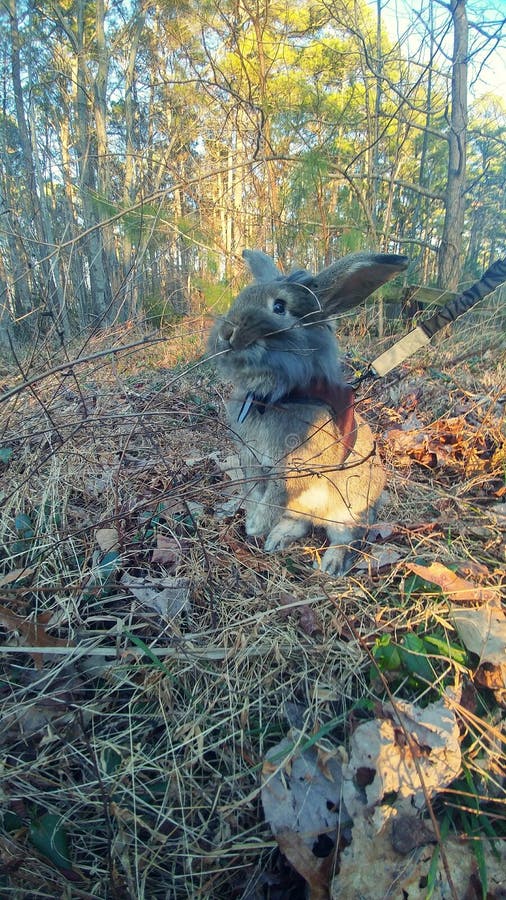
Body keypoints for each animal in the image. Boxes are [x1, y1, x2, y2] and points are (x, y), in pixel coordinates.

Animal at [209, 249, 408, 574]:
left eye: (280, 307)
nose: (227, 333)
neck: (275, 395)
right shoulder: (251, 459)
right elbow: (255, 489)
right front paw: (254, 521)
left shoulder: (298, 465)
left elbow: (277, 492)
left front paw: (255, 524)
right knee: (300, 523)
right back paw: (276, 539)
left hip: (347, 513)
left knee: (345, 538)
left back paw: (331, 564)